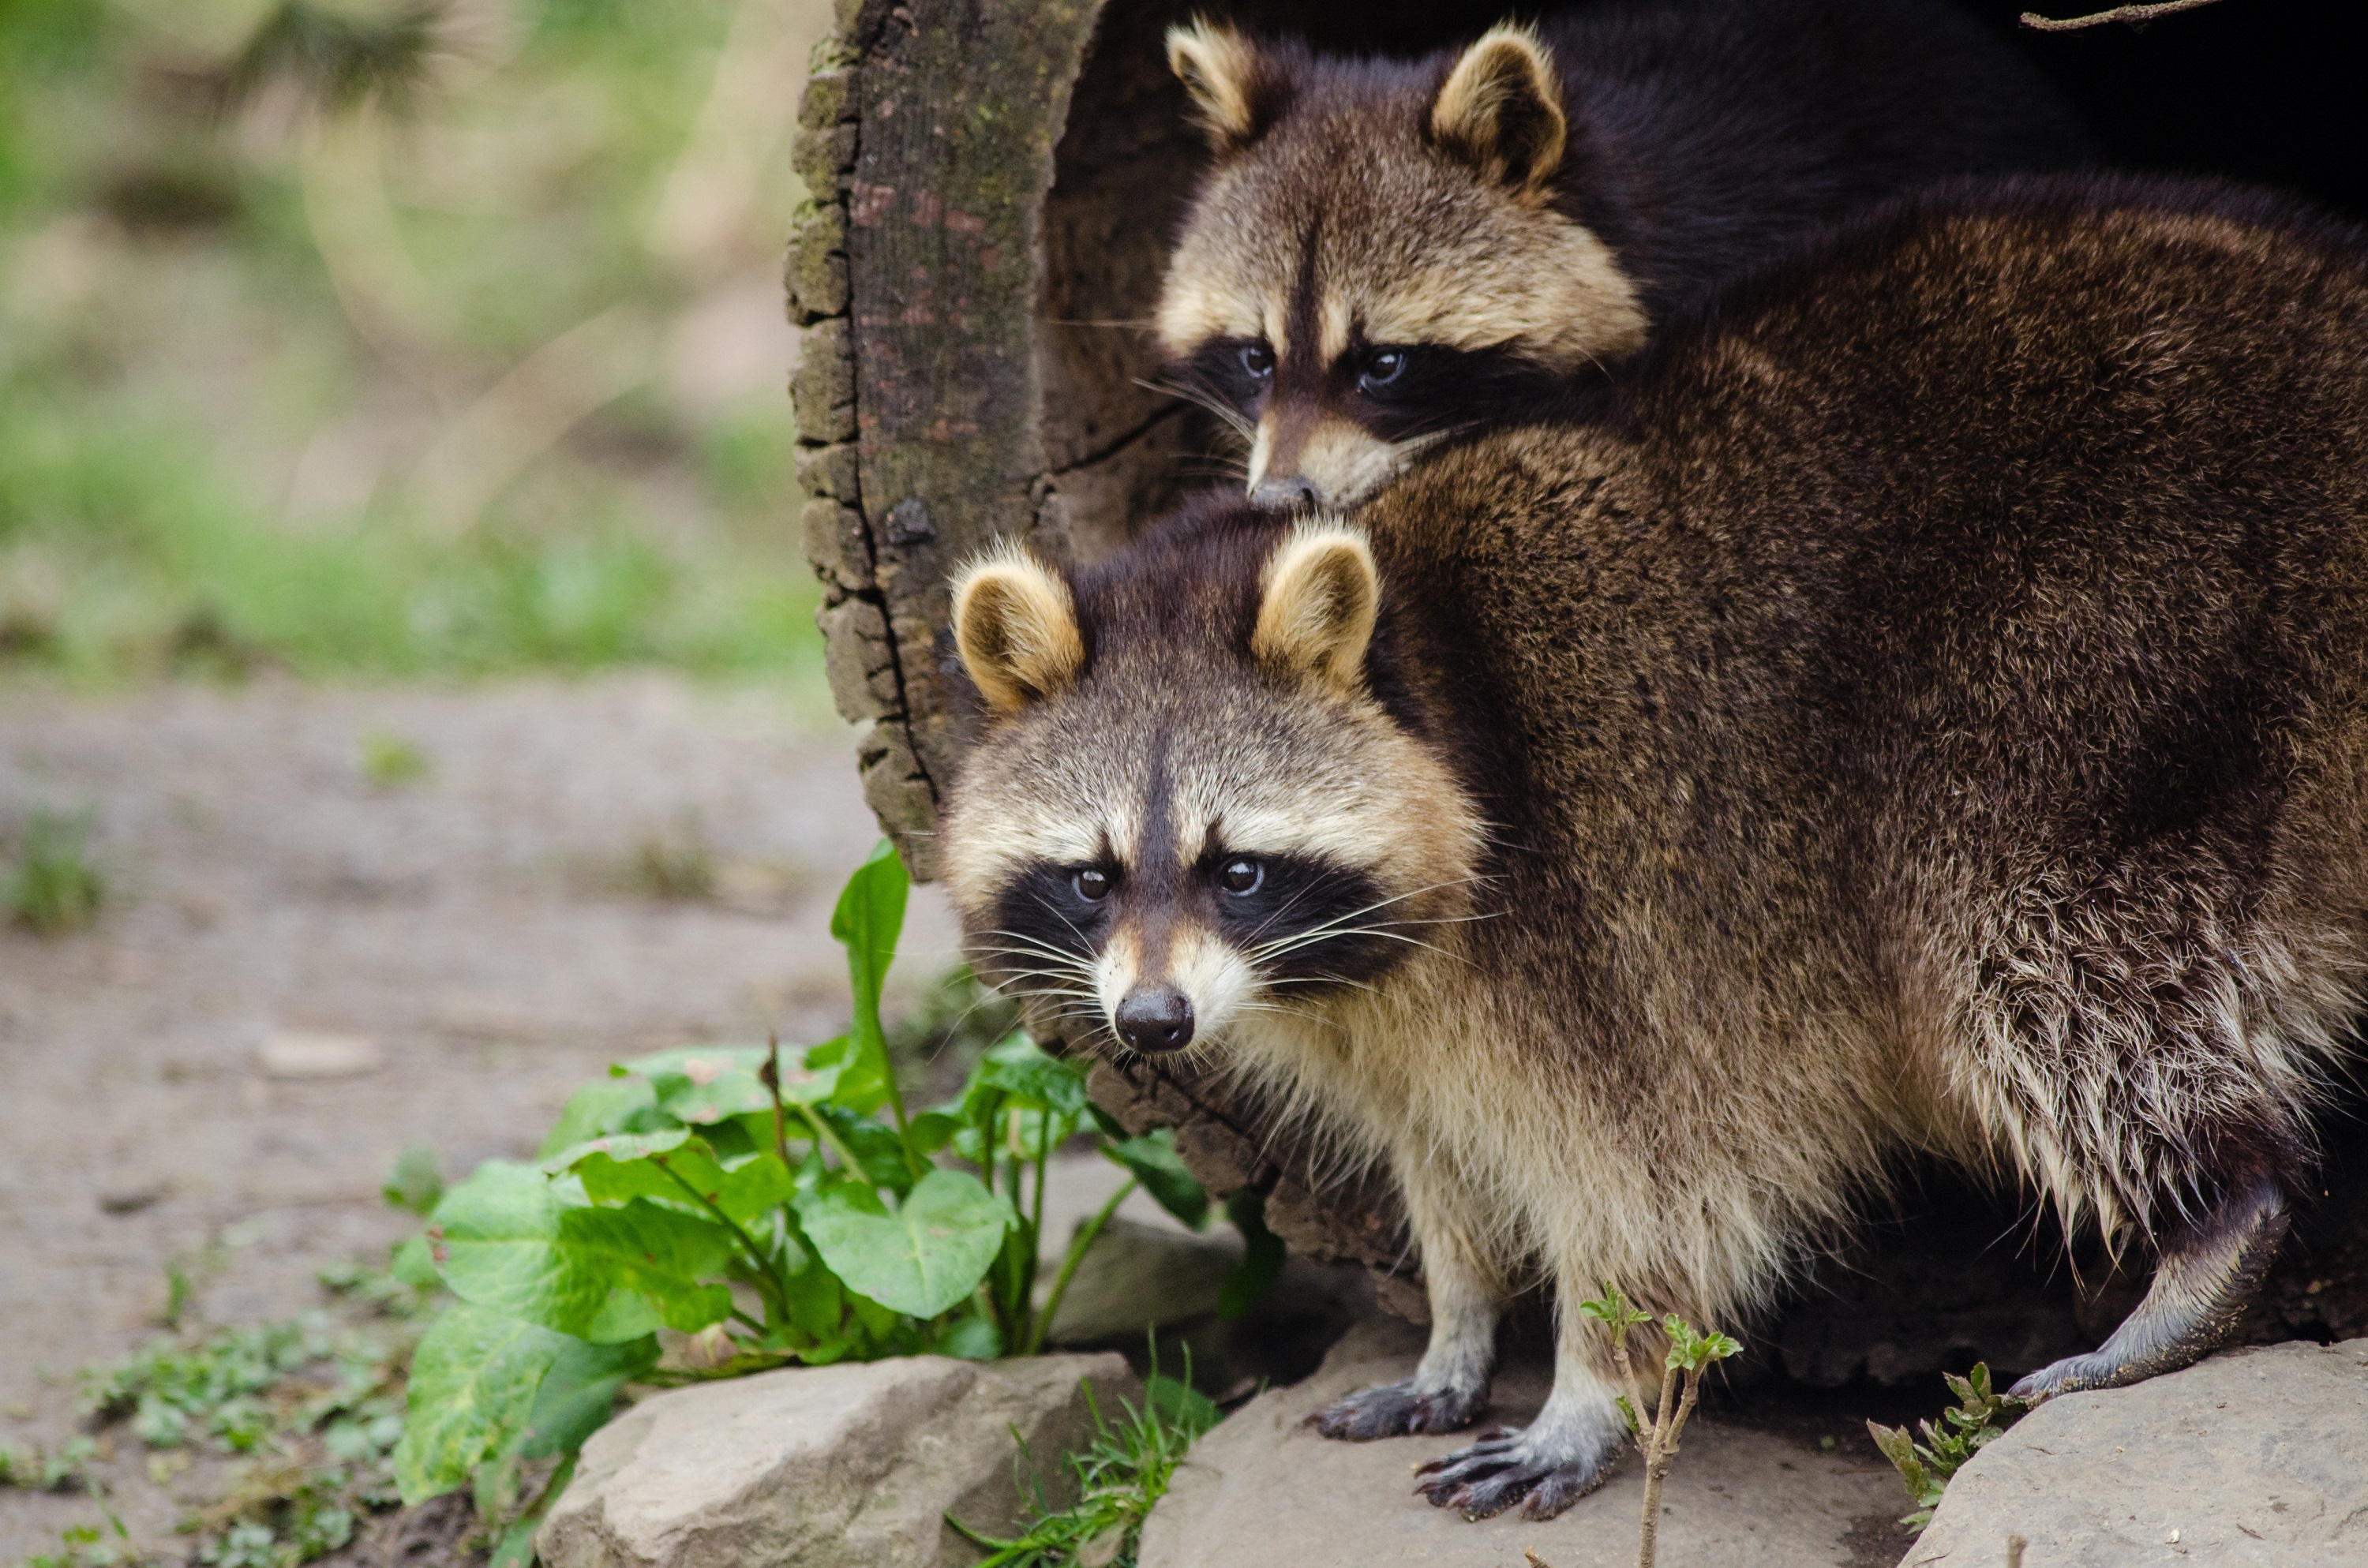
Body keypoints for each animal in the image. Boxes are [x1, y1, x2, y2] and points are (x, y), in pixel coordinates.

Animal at [944, 175, 2368, 1519]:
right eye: (1093, 876)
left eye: (1235, 868)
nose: (1154, 1022)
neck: (1425, 668)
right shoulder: (1389, 1029)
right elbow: (1442, 1170)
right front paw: (1458, 1324)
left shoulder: (1614, 923)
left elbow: (1655, 1191)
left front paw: (1589, 1384)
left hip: (2087, 676)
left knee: (2029, 961)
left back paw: (2214, 1219)